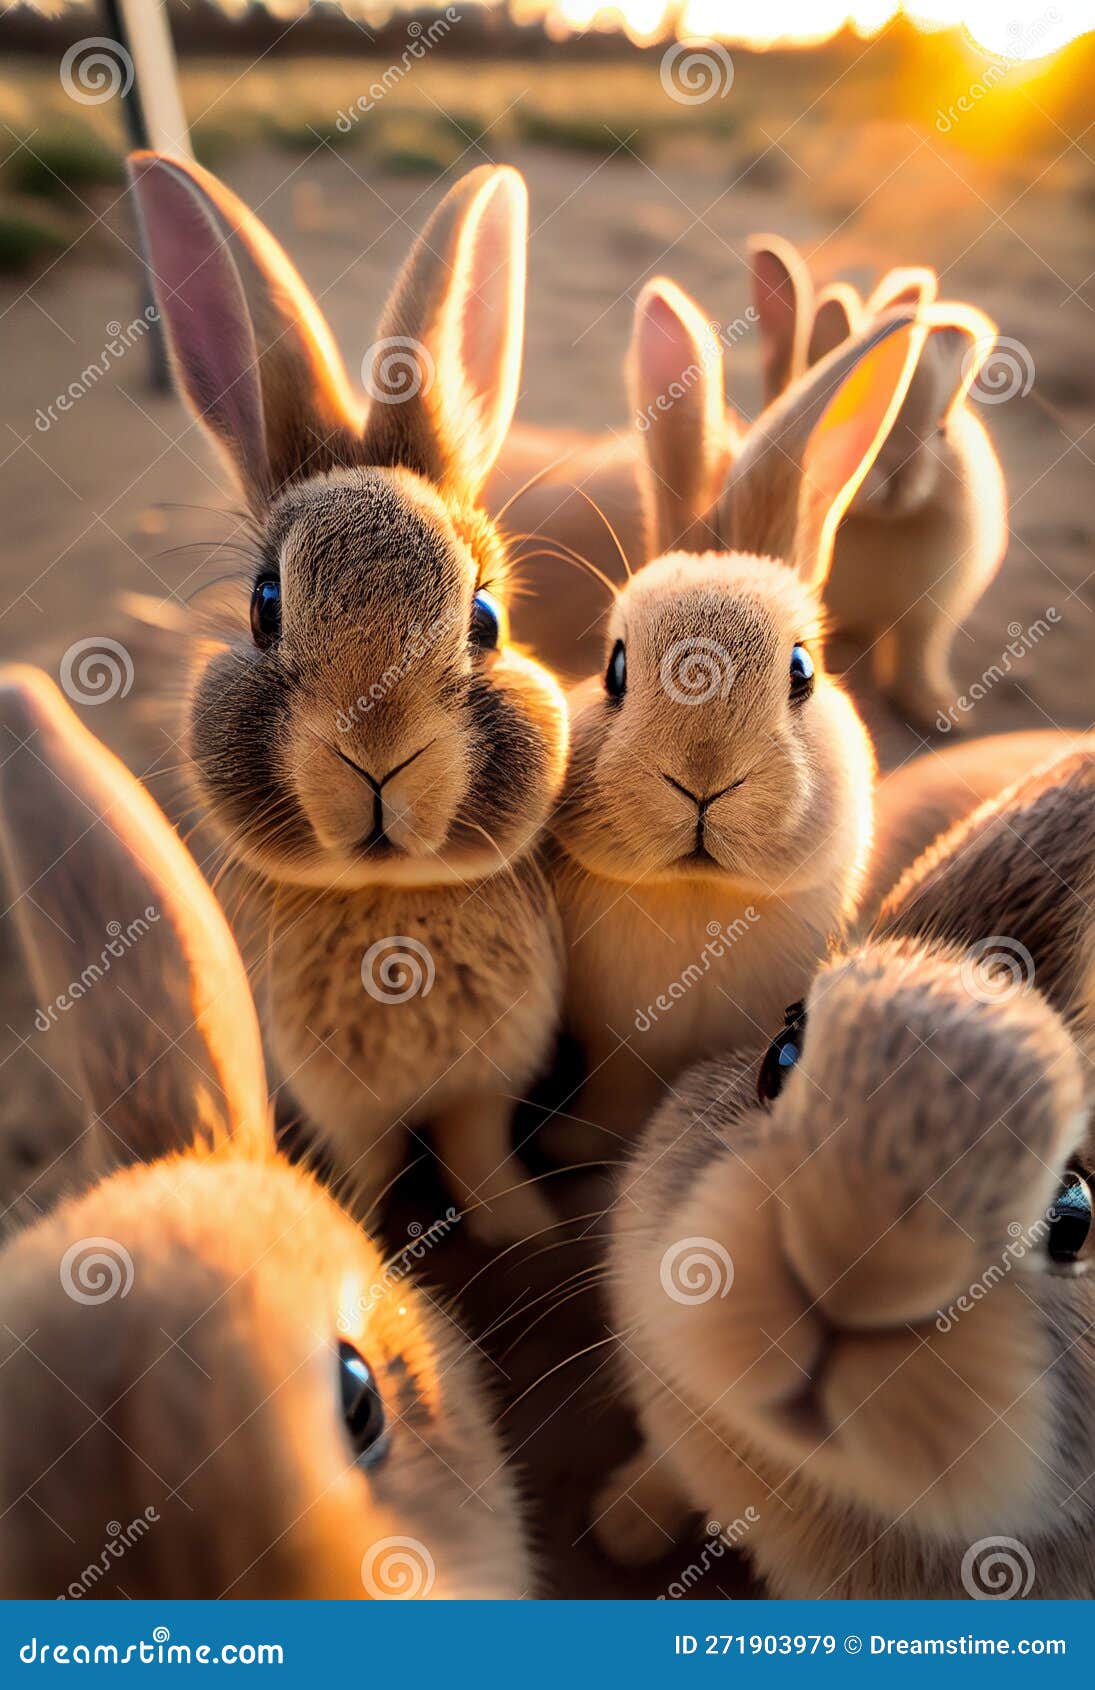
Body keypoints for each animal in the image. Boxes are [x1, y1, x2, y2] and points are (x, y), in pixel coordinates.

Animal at [128, 152, 570, 1246]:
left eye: (486, 617)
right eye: (263, 606)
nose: (376, 754)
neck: (386, 899)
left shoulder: (484, 1087)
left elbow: (475, 1150)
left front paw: (522, 1228)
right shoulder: (344, 1104)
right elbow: (371, 1162)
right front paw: (366, 1227)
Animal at [545, 281, 927, 1162]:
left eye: (802, 671)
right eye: (615, 668)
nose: (701, 778)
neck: (701, 893)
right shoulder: (615, 1047)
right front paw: (578, 1148)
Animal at [749, 235, 1008, 728]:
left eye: (940, 430)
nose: (899, 479)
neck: (877, 522)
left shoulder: (927, 617)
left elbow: (917, 660)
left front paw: (941, 712)